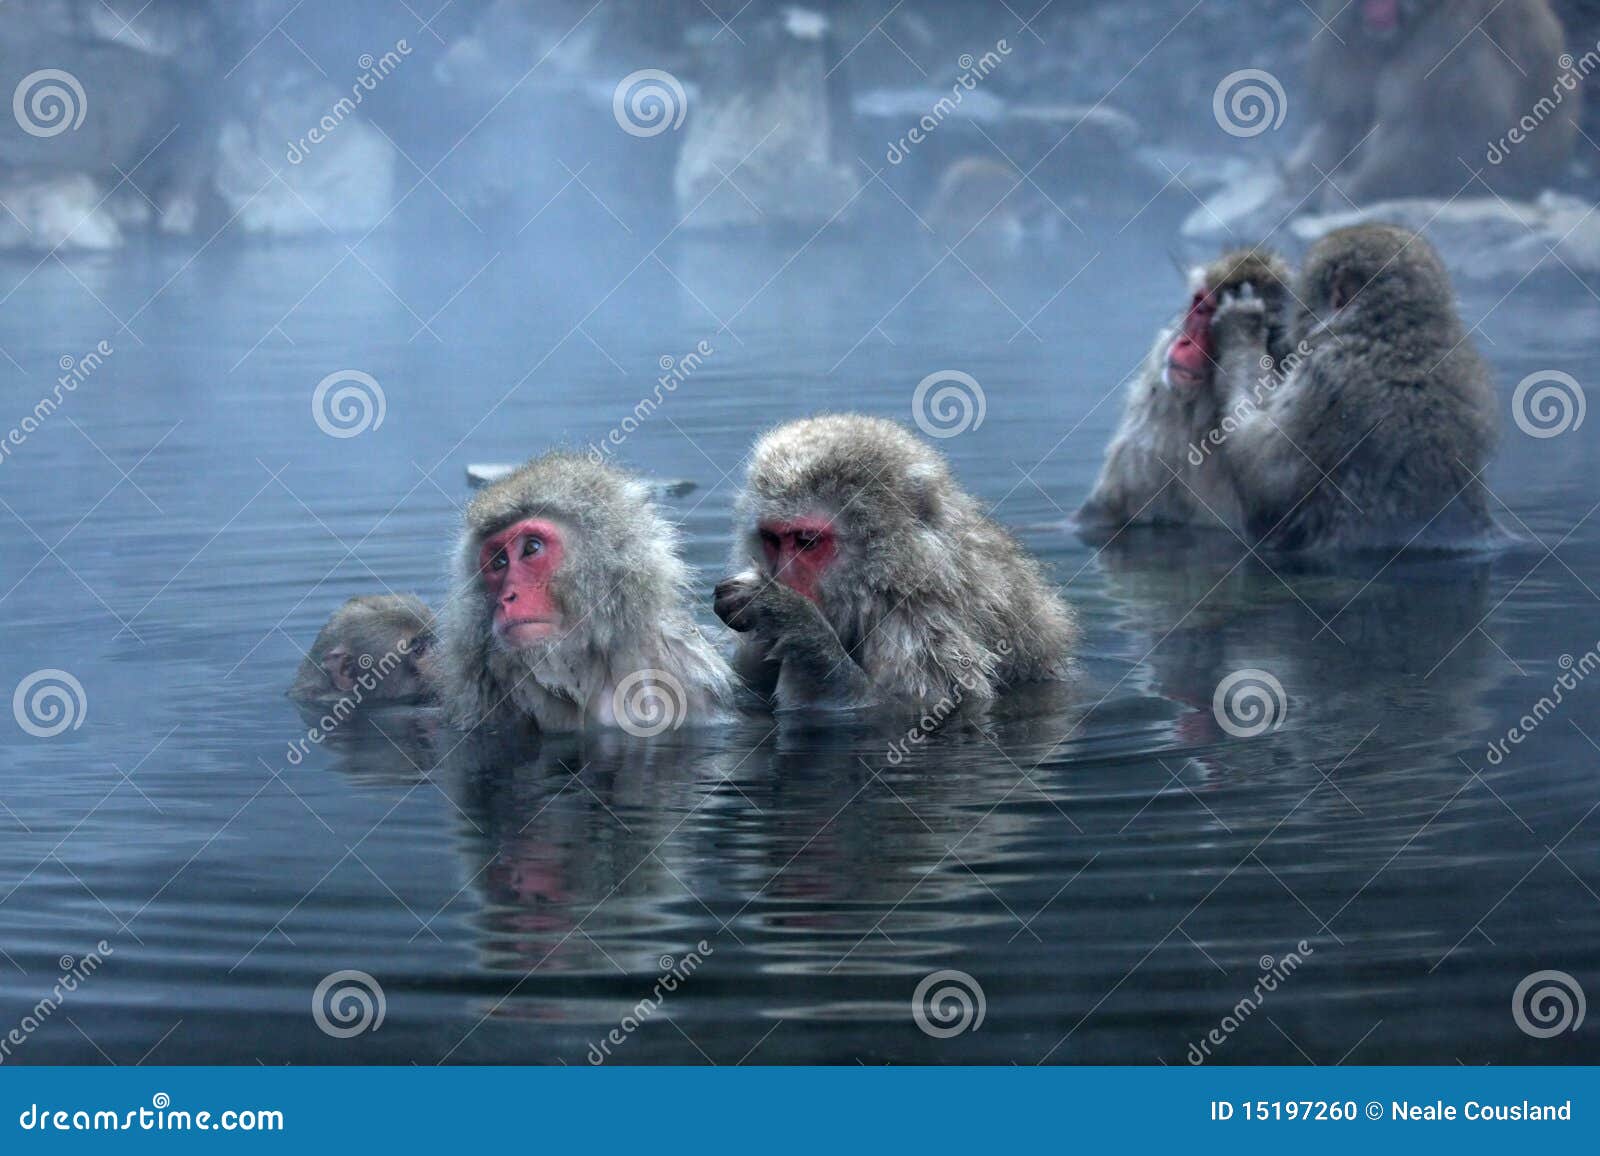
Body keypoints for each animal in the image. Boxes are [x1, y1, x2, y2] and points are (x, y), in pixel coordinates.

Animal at [713, 414, 1075, 709]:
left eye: (807, 542)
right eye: (772, 539)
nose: (783, 576)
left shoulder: (919, 626)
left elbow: (909, 704)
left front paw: (793, 619)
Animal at [1288, 0, 1580, 206]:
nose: (1375, 10)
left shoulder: (1450, 31)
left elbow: (1445, 132)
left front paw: (1350, 190)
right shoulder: (1340, 19)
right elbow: (1341, 118)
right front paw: (1306, 180)